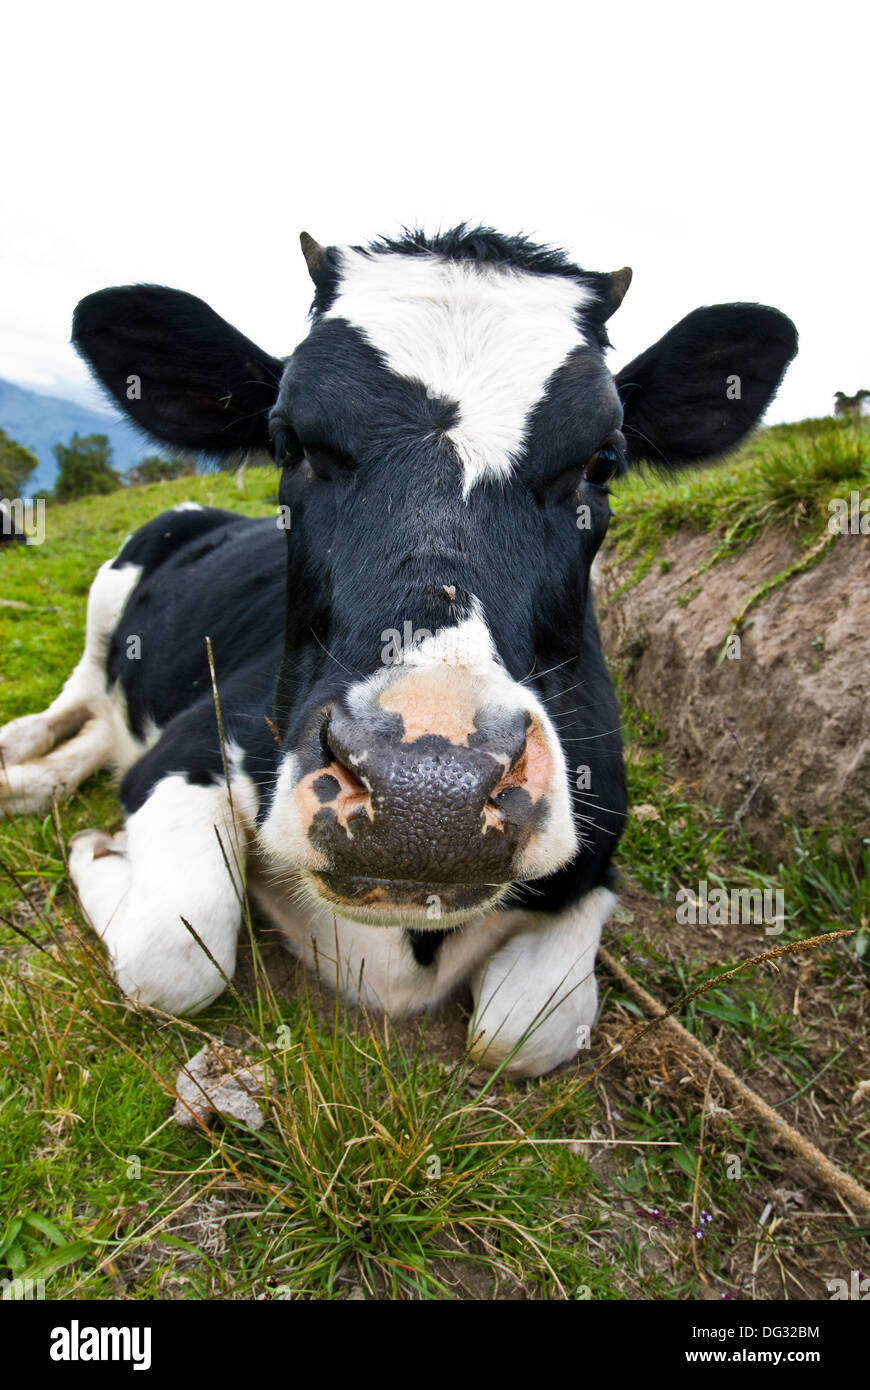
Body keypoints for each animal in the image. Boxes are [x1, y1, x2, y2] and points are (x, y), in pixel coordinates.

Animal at [0, 227, 798, 1077]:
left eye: (603, 461)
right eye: (289, 443)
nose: (427, 795)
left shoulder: (597, 845)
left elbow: (526, 1028)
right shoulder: (187, 749)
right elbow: (172, 955)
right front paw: (99, 854)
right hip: (109, 591)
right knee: (80, 696)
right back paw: (19, 756)